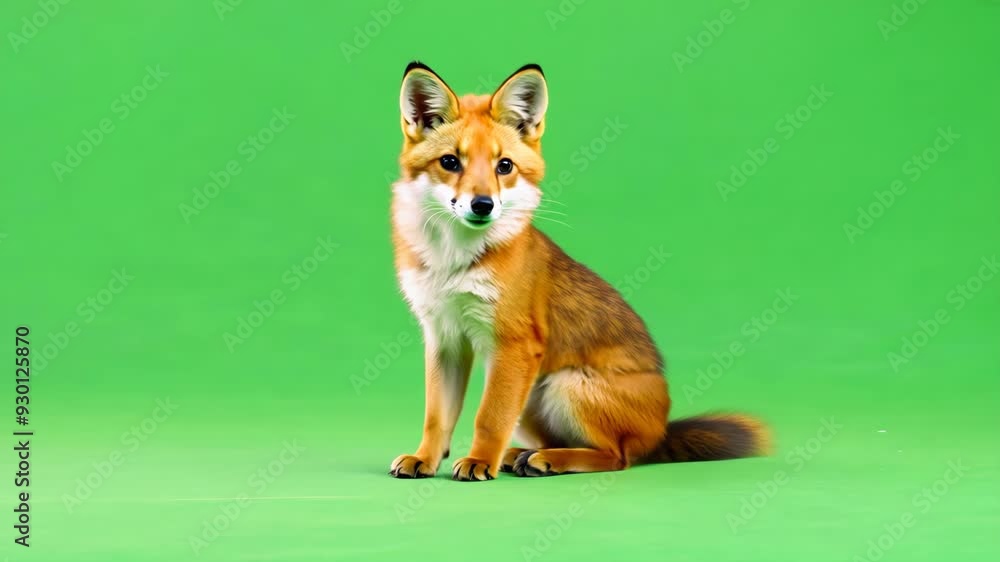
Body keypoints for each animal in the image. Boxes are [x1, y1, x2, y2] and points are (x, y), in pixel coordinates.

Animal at [389, 62, 771, 481]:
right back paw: (522, 455)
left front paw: (478, 461)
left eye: (504, 166)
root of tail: (660, 431)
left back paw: (549, 460)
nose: (483, 204)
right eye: (450, 162)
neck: (454, 262)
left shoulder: (514, 344)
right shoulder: (444, 338)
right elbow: (436, 417)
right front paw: (425, 459)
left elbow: (489, 418)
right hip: (534, 398)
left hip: (564, 384)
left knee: (618, 458)